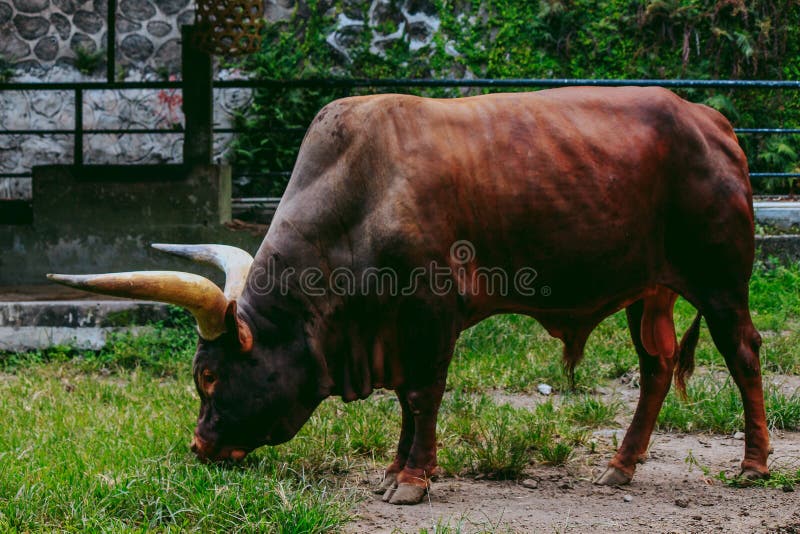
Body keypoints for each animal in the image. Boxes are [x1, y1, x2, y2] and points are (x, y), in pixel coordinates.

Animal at [48, 86, 770, 505]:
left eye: (208, 377)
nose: (200, 448)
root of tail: (710, 121)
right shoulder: (393, 329)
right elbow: (404, 404)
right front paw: (393, 470)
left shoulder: (430, 317)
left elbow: (422, 398)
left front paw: (414, 480)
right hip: (649, 290)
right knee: (656, 368)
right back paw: (621, 465)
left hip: (721, 281)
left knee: (744, 356)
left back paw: (754, 465)